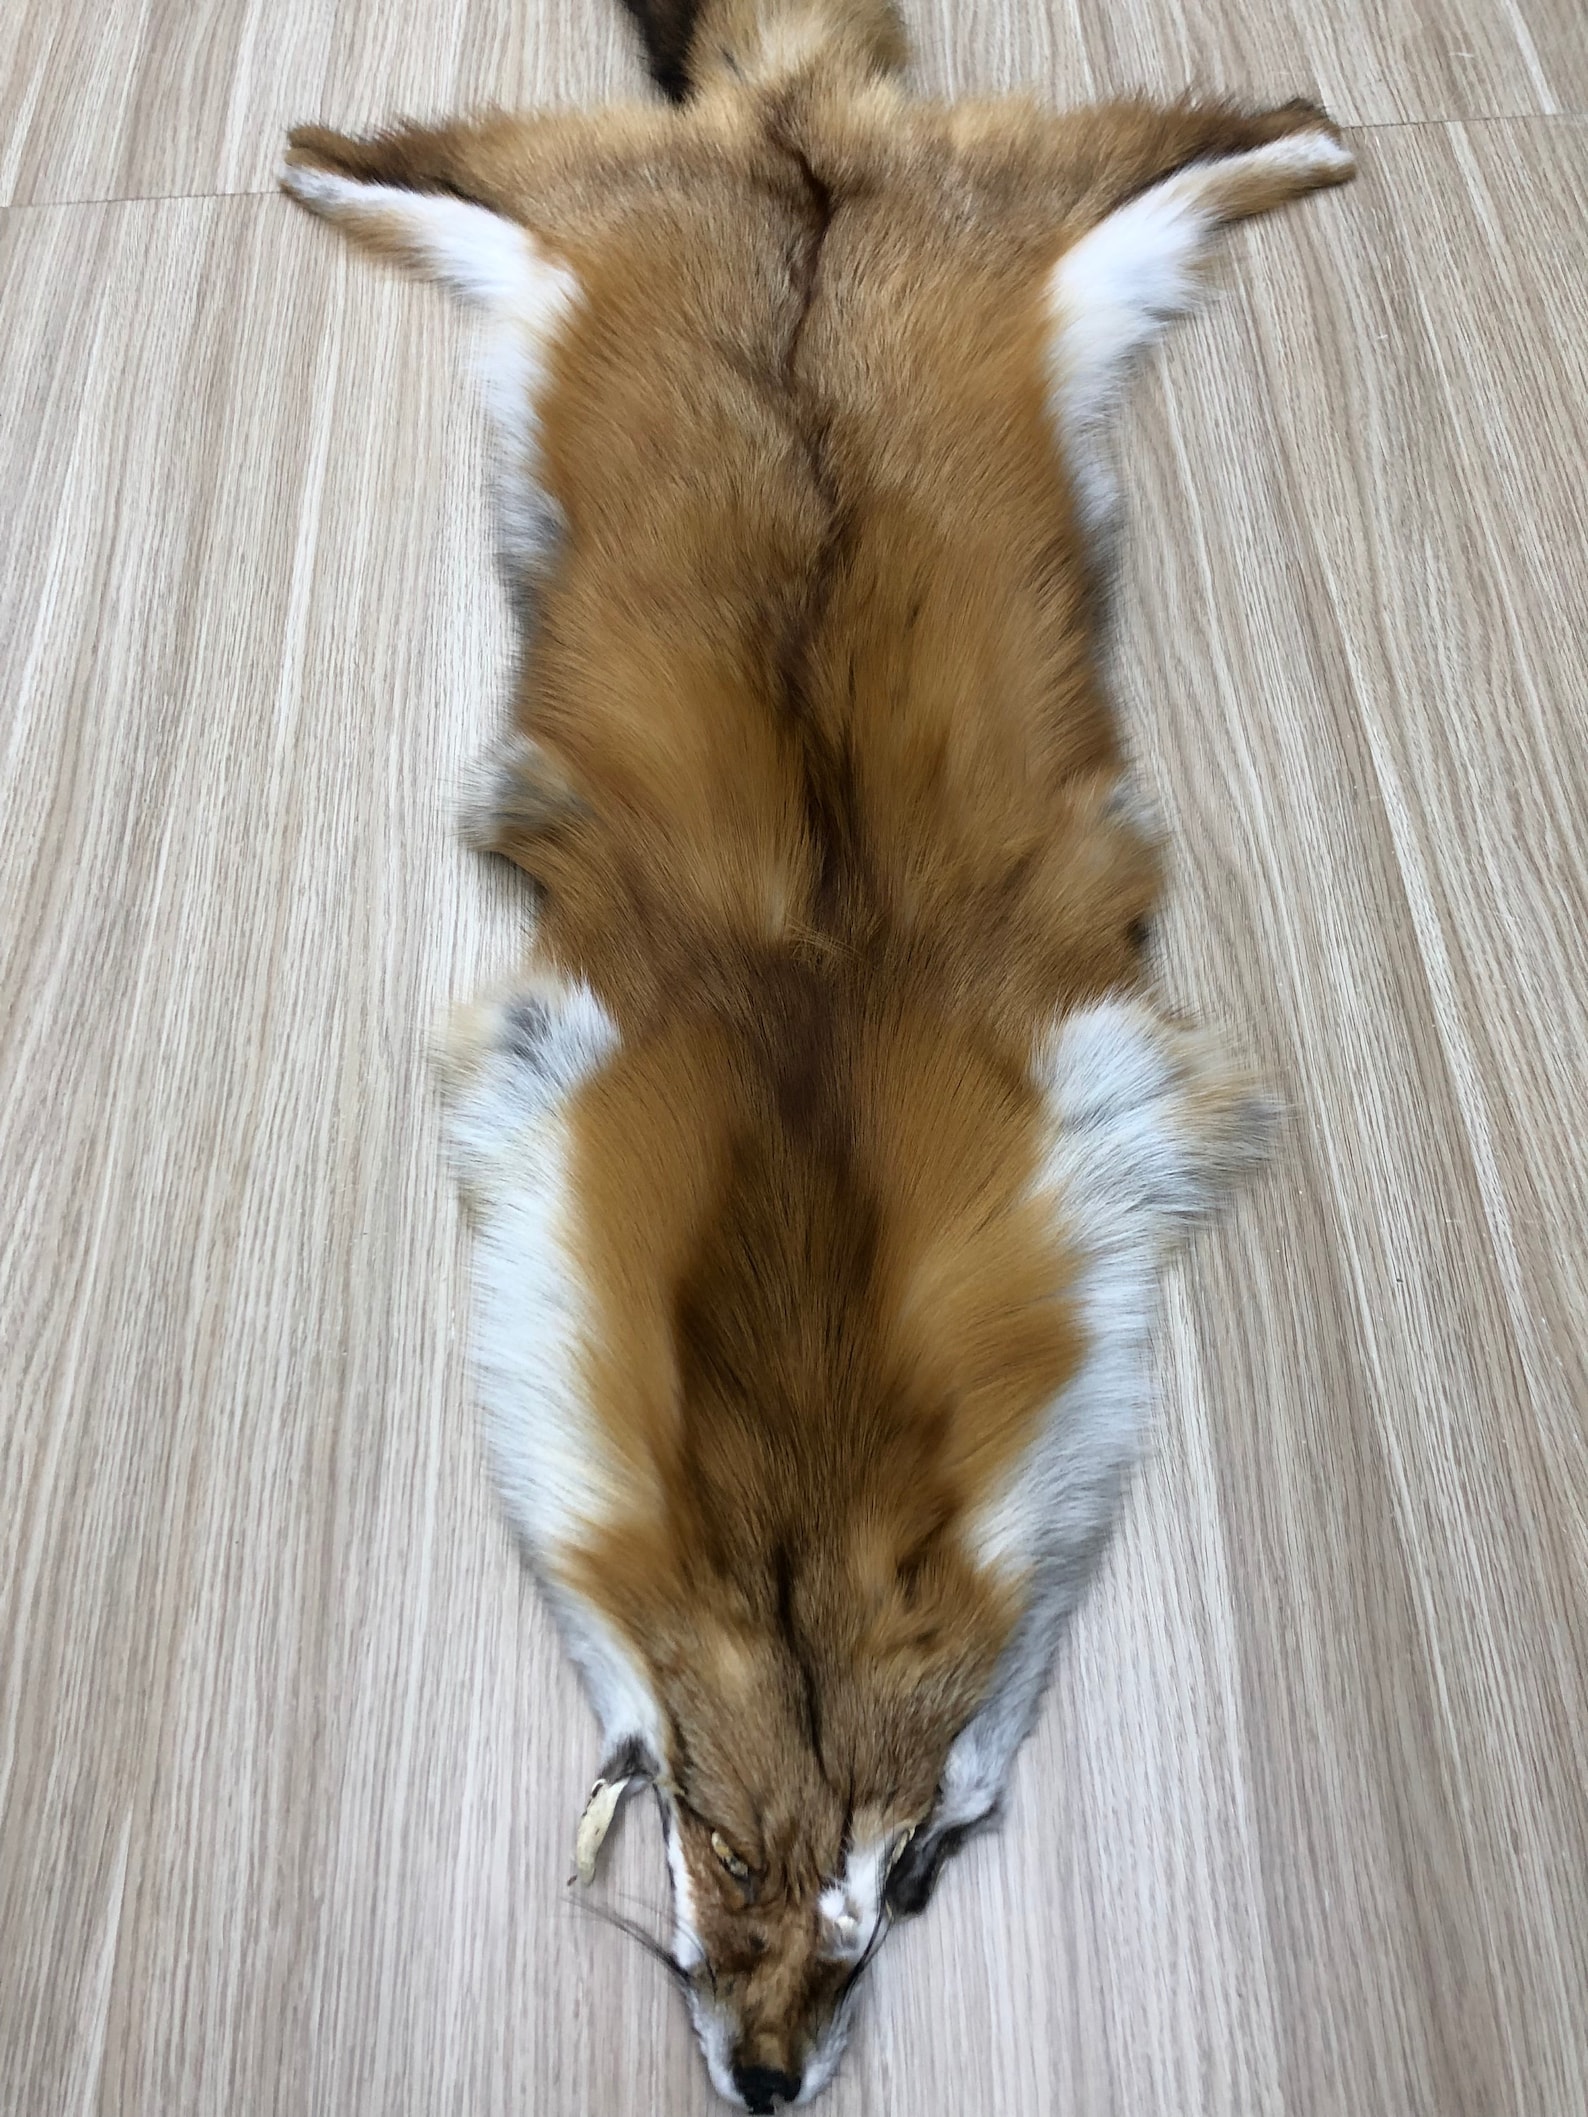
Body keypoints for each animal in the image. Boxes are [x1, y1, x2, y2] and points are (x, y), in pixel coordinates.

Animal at [281, 1, 1354, 2106]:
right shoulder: (548, 1084)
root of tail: (798, 155)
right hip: (579, 224)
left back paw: (1299, 138)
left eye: (907, 1872)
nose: (769, 2078)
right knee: (441, 156)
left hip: (1048, 230)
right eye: (717, 1842)